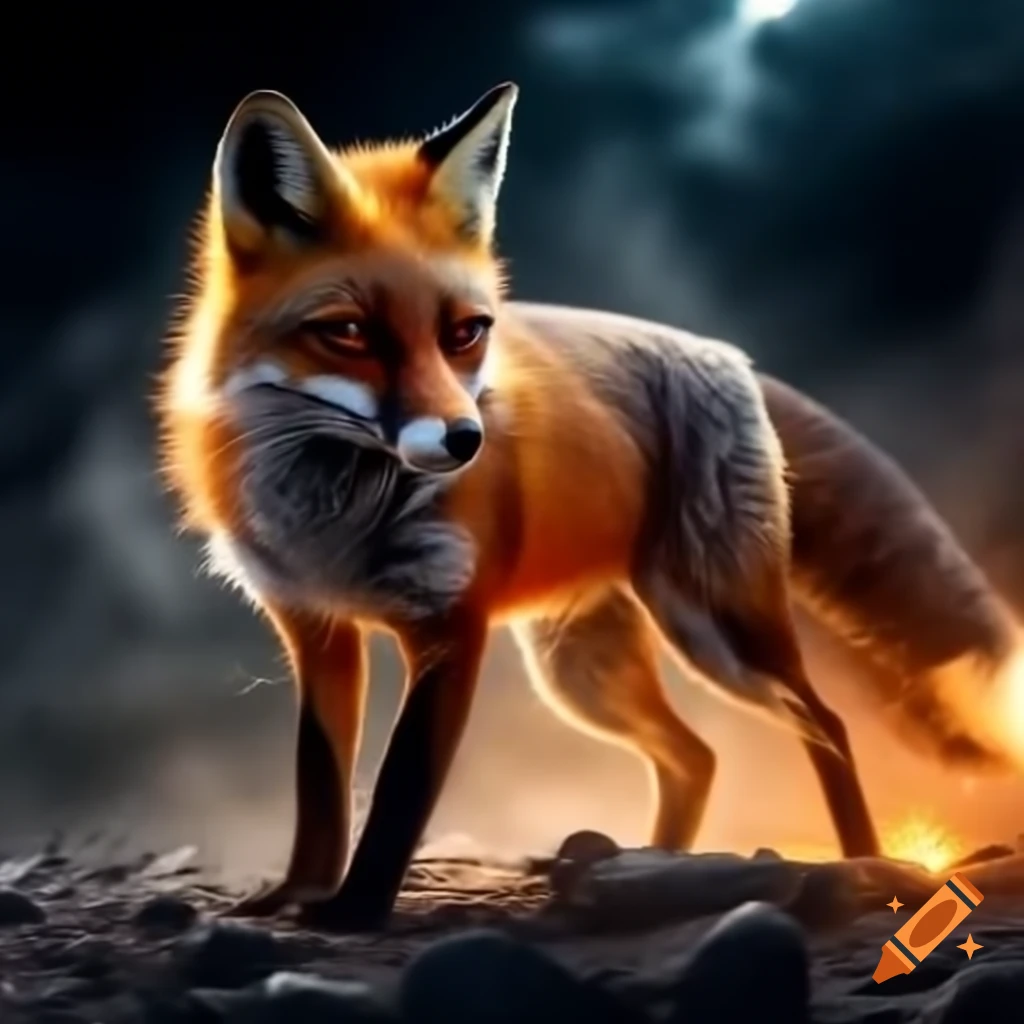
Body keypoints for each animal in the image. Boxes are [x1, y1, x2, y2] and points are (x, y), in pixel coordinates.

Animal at [158, 82, 1022, 931]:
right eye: (346, 334)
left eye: (466, 334)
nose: (466, 441)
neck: (335, 511)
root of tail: (726, 354)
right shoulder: (318, 632)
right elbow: (320, 786)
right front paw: (297, 896)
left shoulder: (451, 627)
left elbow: (402, 792)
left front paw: (356, 913)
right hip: (583, 670)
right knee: (695, 756)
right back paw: (653, 868)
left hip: (713, 628)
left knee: (825, 723)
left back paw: (863, 865)